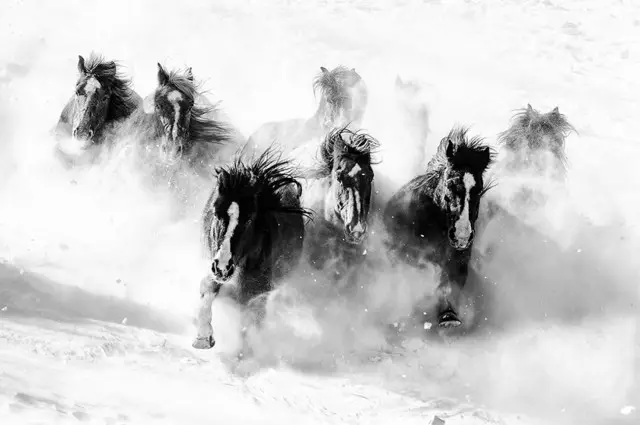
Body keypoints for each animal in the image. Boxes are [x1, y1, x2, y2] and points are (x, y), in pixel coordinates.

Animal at [192, 147, 310, 350]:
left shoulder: (257, 287)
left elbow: (249, 317)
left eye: (249, 220)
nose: (223, 267)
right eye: (216, 213)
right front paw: (203, 338)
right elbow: (208, 286)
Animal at [384, 126, 496, 328]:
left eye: (479, 189)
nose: (461, 237)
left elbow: (448, 284)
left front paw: (448, 315)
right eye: (450, 183)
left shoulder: (457, 262)